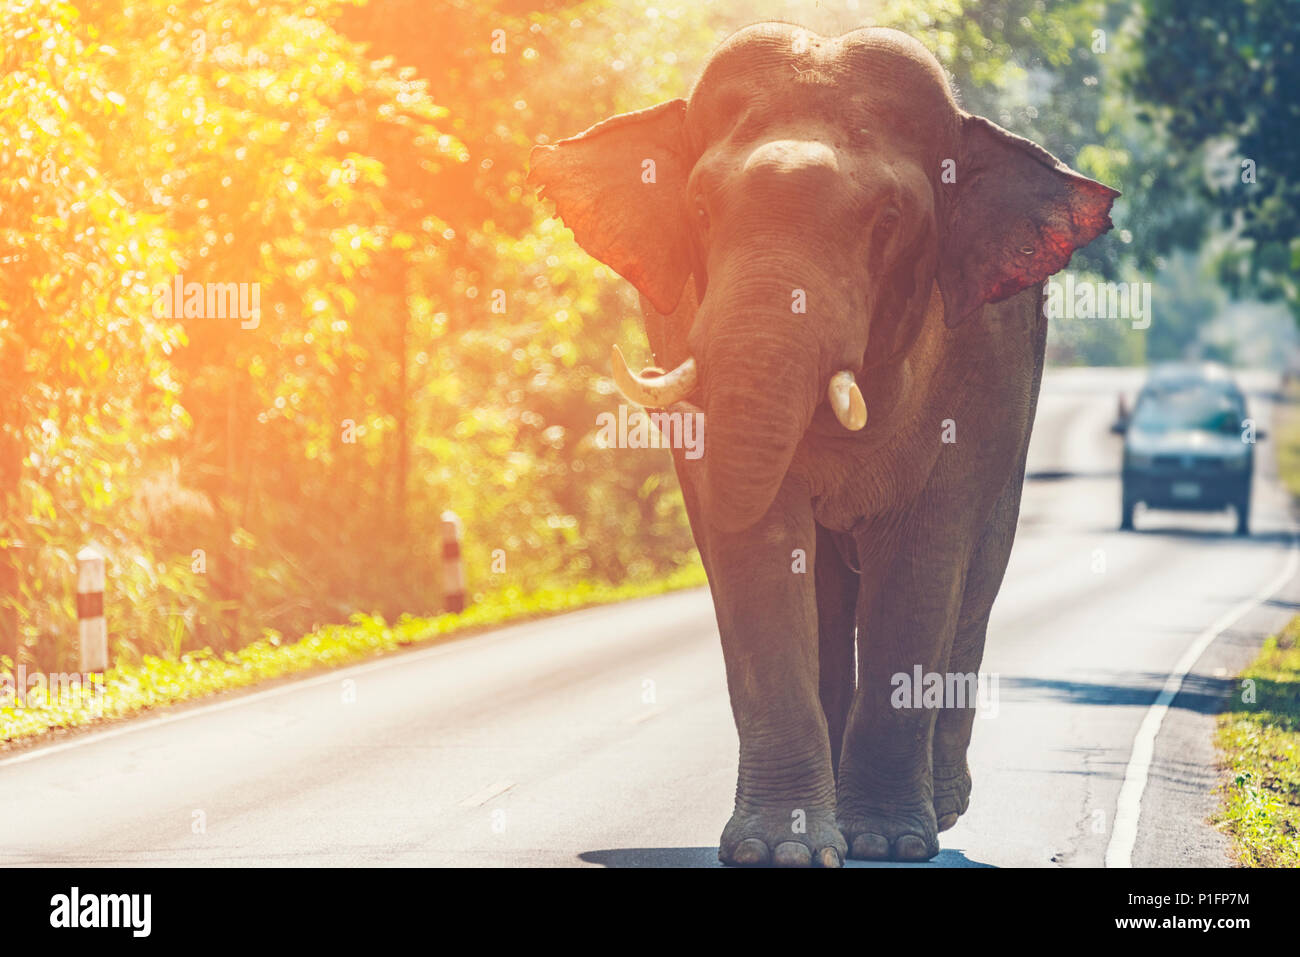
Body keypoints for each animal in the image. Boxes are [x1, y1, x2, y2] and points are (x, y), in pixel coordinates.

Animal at [529, 22, 1118, 866]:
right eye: (700, 208)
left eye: (889, 219)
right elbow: (761, 550)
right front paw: (778, 848)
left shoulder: (978, 367)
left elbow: (922, 559)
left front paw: (887, 841)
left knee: (976, 573)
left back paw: (940, 808)